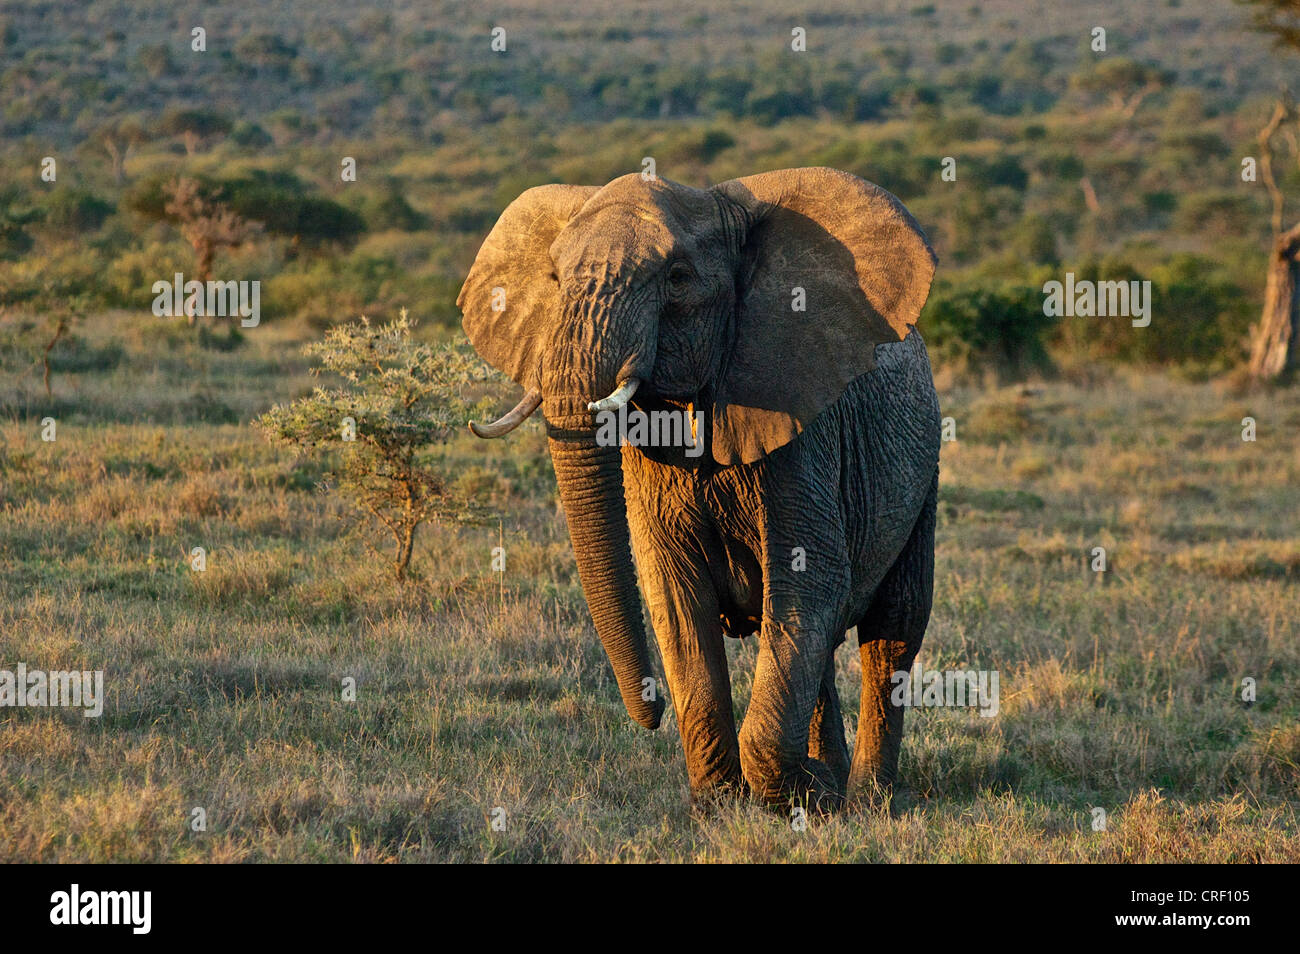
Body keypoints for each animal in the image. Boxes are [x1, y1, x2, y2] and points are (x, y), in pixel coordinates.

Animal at [458, 167, 940, 809]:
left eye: (678, 279)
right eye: (555, 280)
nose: (651, 711)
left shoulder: (805, 425)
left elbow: (810, 577)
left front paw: (787, 795)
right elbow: (677, 595)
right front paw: (721, 803)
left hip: (923, 467)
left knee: (892, 628)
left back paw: (863, 799)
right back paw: (828, 783)